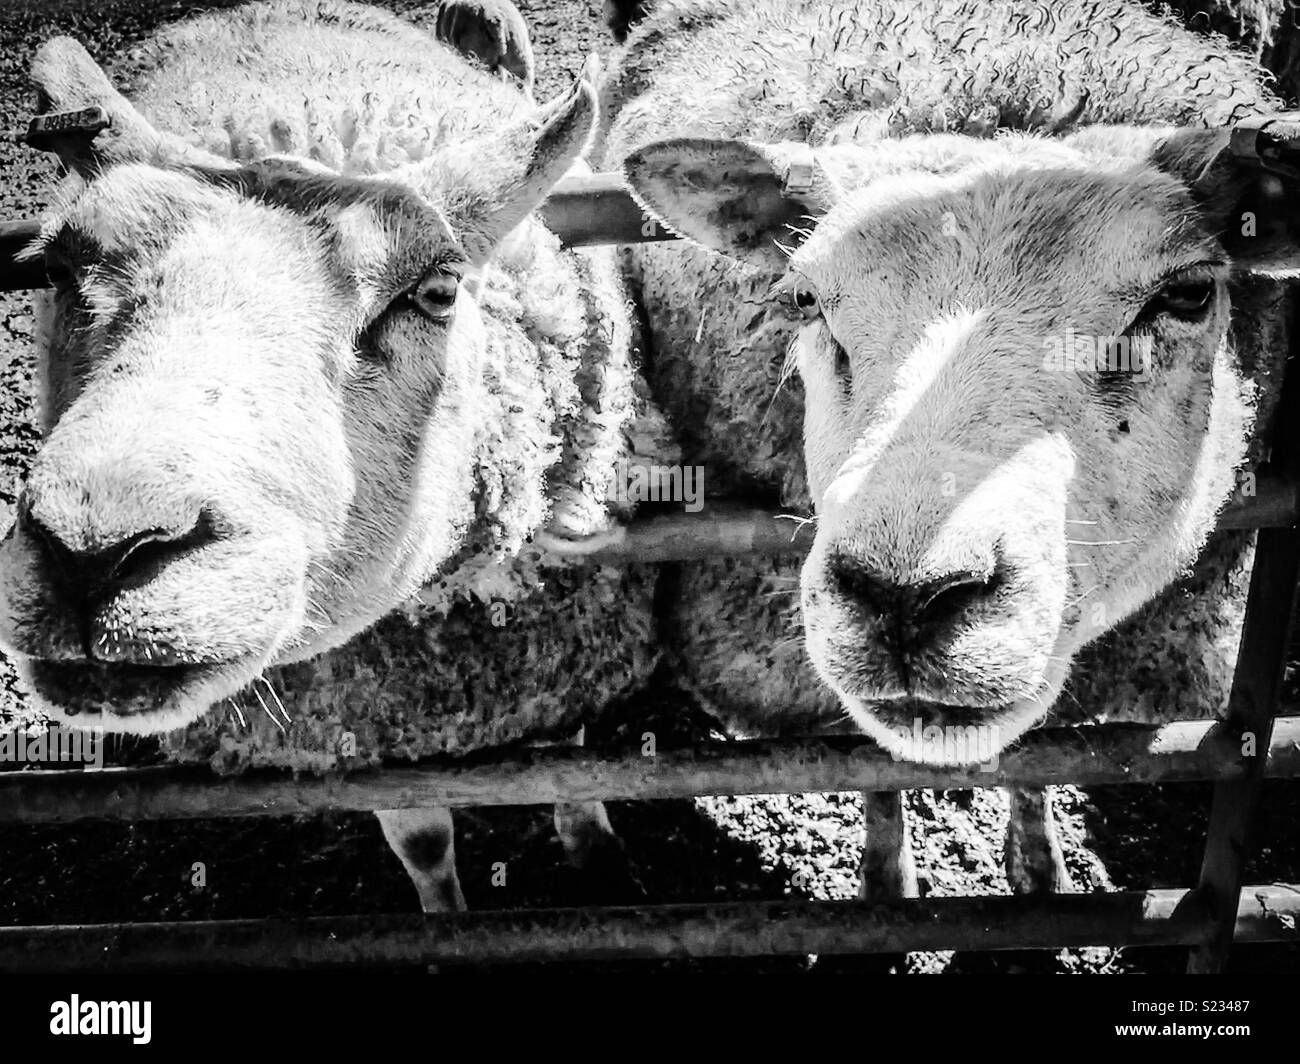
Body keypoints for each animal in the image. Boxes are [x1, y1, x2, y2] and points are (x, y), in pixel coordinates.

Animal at [0, 0, 681, 911]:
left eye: (436, 290)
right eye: (59, 267)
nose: (90, 553)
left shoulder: (569, 643)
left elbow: (578, 763)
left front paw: (595, 852)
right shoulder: (371, 742)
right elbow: (423, 841)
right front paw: (445, 913)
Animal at [577, 0, 1296, 899]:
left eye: (1190, 294)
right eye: (805, 299)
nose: (905, 600)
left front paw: (1039, 867)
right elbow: (875, 771)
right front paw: (889, 882)